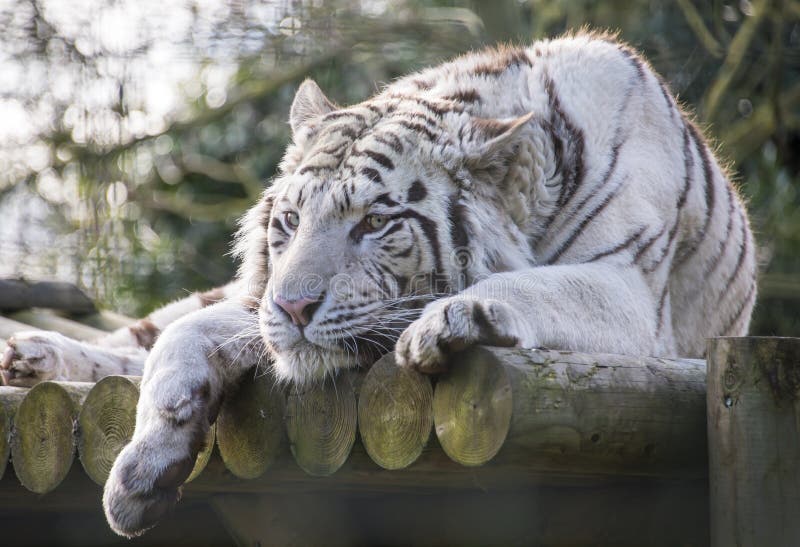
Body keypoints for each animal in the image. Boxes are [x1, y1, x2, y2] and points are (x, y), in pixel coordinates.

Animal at [0, 31, 756, 537]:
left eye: (373, 222)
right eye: (291, 220)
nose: (293, 305)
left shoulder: (631, 292)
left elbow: (540, 284)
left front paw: (452, 320)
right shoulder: (256, 311)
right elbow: (178, 338)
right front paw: (138, 476)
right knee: (139, 334)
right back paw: (29, 353)